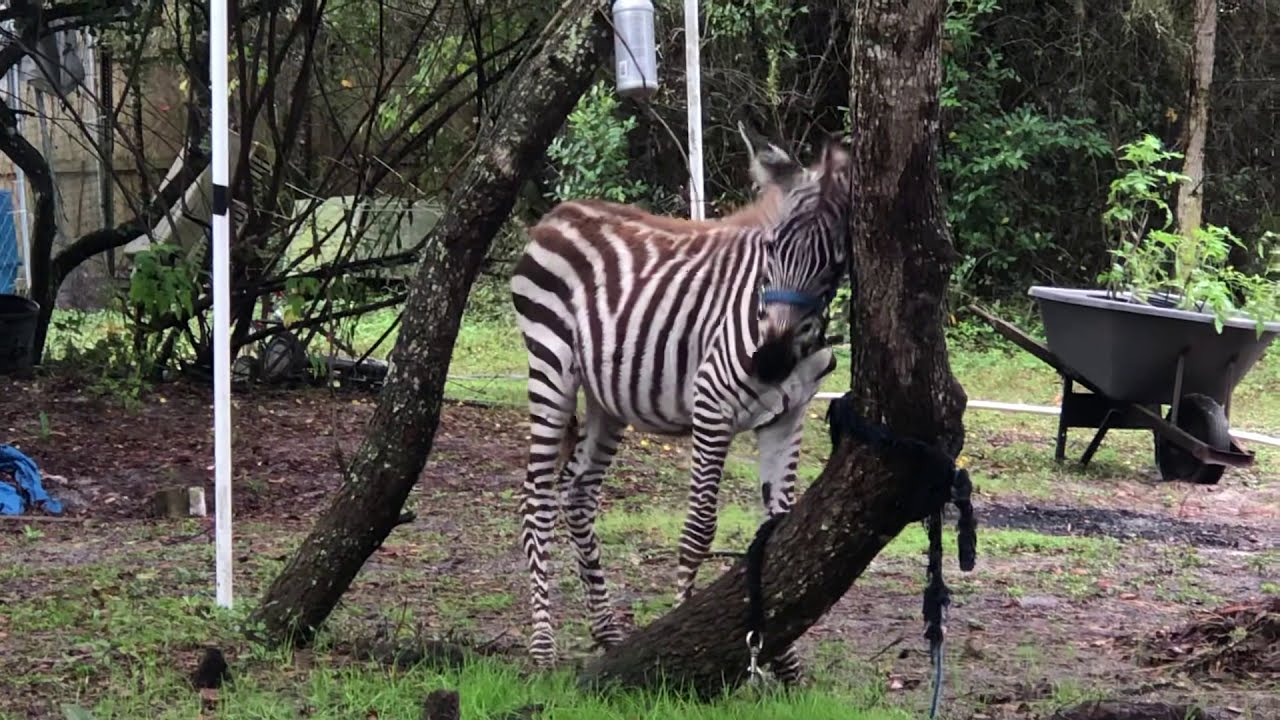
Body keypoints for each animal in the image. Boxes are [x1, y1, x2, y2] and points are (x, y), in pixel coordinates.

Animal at [510, 136, 853, 672]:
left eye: (836, 260)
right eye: (772, 248)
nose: (770, 361)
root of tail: (558, 213)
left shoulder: (789, 418)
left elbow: (779, 530)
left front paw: (784, 662)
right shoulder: (711, 404)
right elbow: (699, 529)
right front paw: (682, 639)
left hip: (607, 397)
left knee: (579, 492)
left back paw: (608, 633)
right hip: (550, 366)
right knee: (537, 495)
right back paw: (543, 647)